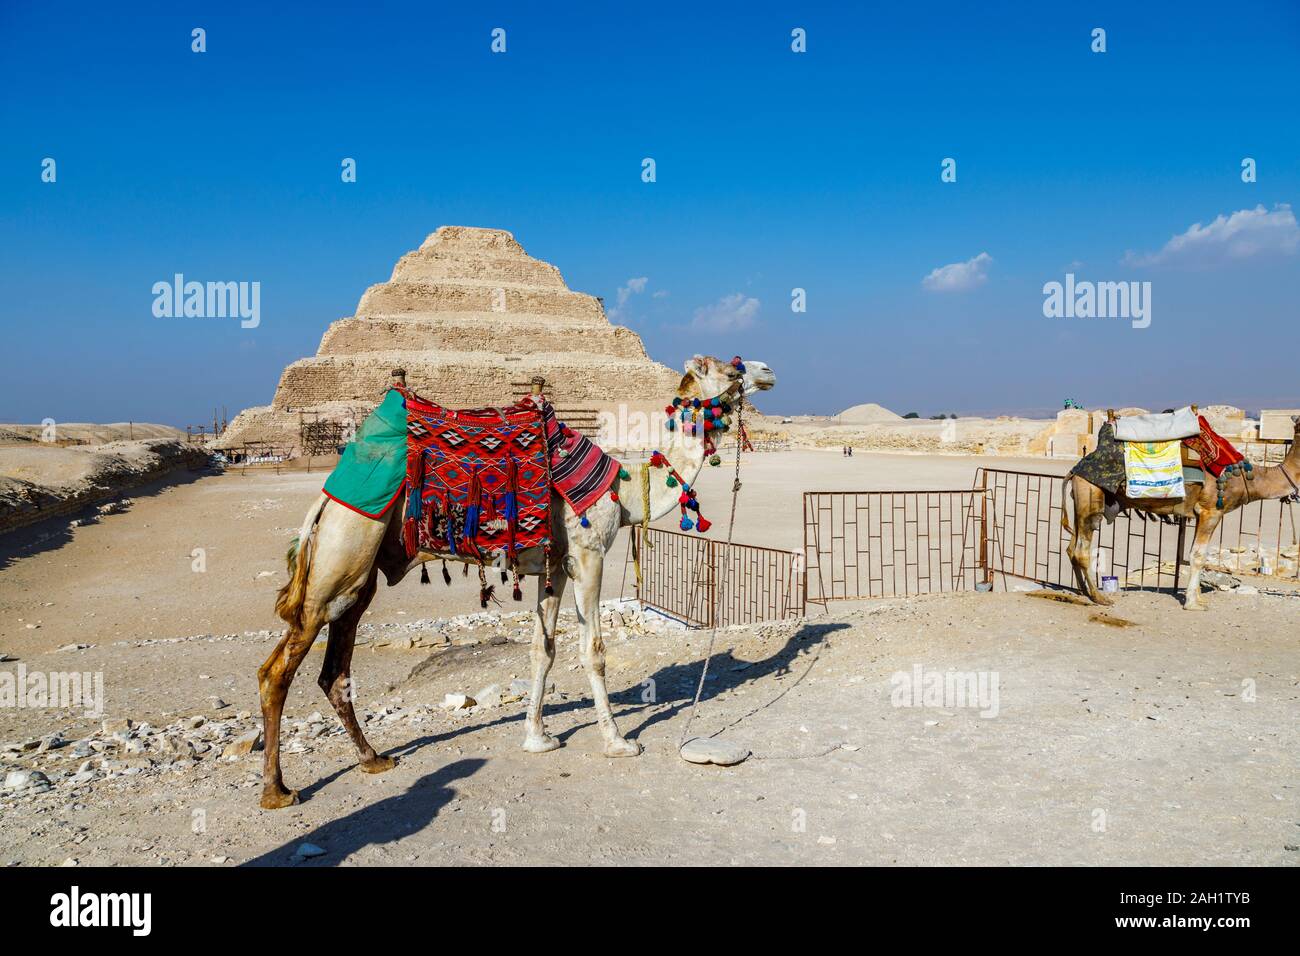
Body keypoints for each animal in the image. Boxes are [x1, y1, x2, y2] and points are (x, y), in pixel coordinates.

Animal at [257, 354, 776, 809]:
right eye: (731, 369)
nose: (768, 371)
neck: (623, 489)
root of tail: (324, 502)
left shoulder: (554, 566)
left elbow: (541, 650)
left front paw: (537, 737)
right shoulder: (588, 555)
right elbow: (594, 650)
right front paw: (618, 742)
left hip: (357, 578)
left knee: (334, 671)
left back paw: (373, 759)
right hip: (341, 553)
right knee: (276, 671)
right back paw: (277, 791)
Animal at [1065, 416, 1300, 610]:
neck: (1248, 478)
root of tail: (1074, 471)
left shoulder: (1199, 514)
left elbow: (1198, 554)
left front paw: (1198, 598)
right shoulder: (1211, 511)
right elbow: (1197, 556)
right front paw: (1193, 603)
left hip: (1080, 504)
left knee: (1071, 548)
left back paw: (1084, 592)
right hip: (1090, 499)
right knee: (1081, 550)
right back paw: (1099, 597)